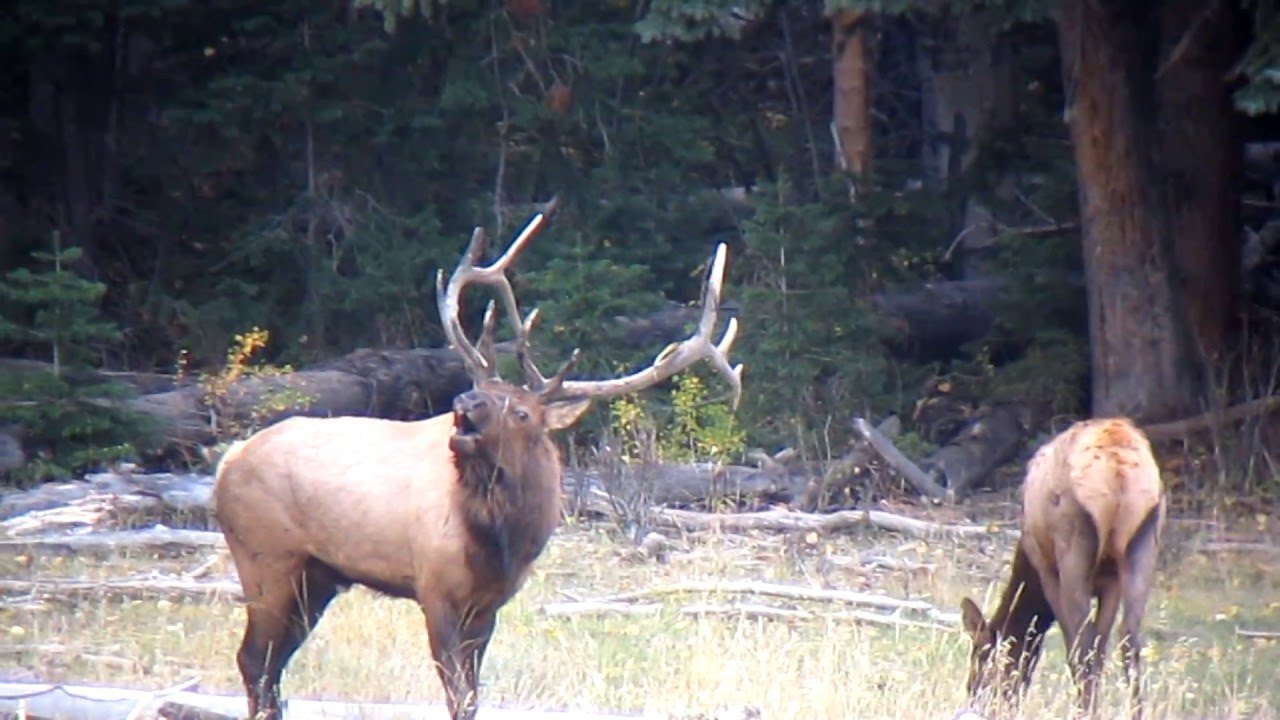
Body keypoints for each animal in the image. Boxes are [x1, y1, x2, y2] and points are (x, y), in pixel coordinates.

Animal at [213, 199, 742, 720]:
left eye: (522, 411)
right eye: (480, 385)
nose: (465, 402)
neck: (501, 541)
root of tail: (226, 463)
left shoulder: (489, 604)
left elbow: (472, 693)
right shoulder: (434, 587)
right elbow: (458, 696)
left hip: (317, 577)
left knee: (270, 668)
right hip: (266, 558)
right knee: (253, 661)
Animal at [958, 417, 1165, 720]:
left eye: (979, 661)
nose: (974, 699)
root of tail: (1118, 473)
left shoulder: (1046, 570)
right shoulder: (1111, 582)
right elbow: (1102, 649)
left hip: (1072, 546)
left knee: (1083, 642)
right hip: (1143, 543)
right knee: (1130, 639)